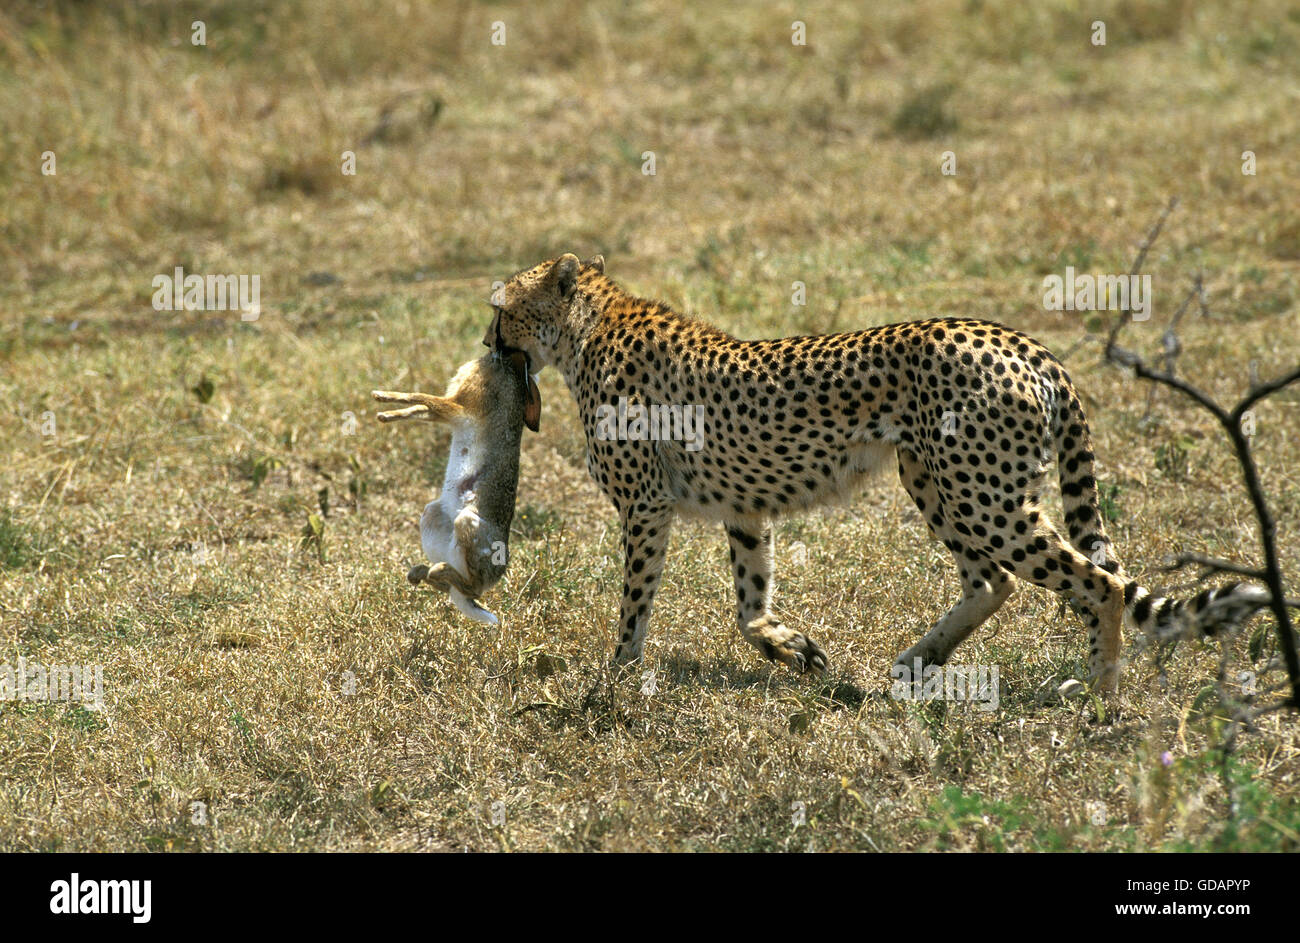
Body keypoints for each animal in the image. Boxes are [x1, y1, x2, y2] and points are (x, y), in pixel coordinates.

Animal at [372, 349, 539, 624]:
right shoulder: (449, 412)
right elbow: (421, 408)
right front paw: (384, 415)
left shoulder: (461, 408)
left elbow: (422, 397)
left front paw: (381, 396)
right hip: (432, 515)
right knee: (449, 587)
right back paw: (422, 572)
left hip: (468, 525)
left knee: (472, 589)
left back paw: (435, 571)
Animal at [482, 252, 1268, 695]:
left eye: (501, 309)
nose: (486, 342)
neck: (587, 327)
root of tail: (1023, 342)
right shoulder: (743, 506)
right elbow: (749, 605)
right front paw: (793, 650)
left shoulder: (646, 506)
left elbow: (636, 601)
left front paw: (614, 679)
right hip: (937, 480)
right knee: (997, 580)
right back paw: (919, 663)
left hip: (984, 493)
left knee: (1096, 582)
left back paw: (1099, 697)